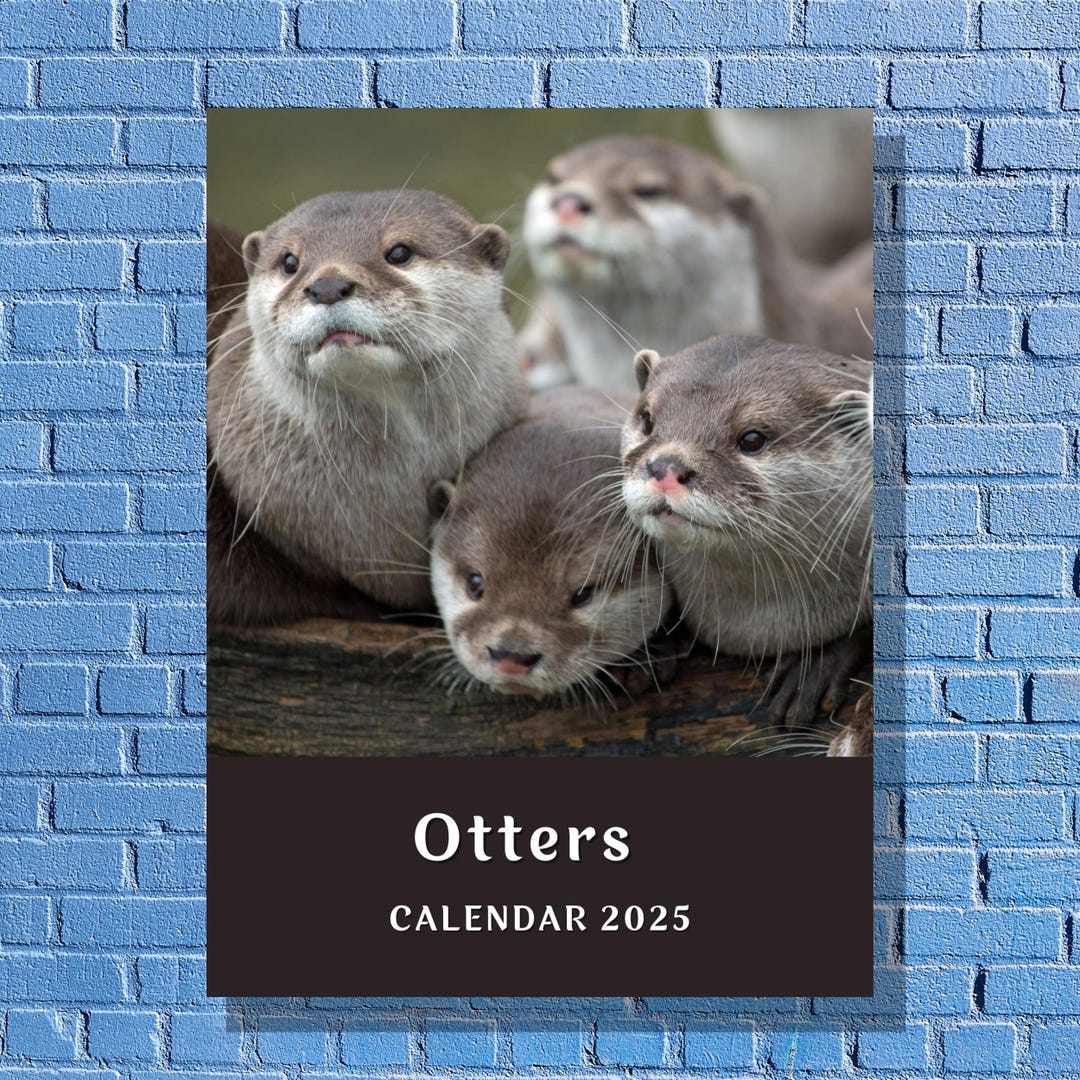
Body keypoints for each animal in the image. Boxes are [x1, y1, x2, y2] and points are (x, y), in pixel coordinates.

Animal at [620, 335, 873, 727]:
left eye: (752, 439)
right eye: (647, 419)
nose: (665, 466)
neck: (751, 628)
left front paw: (817, 665)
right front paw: (654, 643)